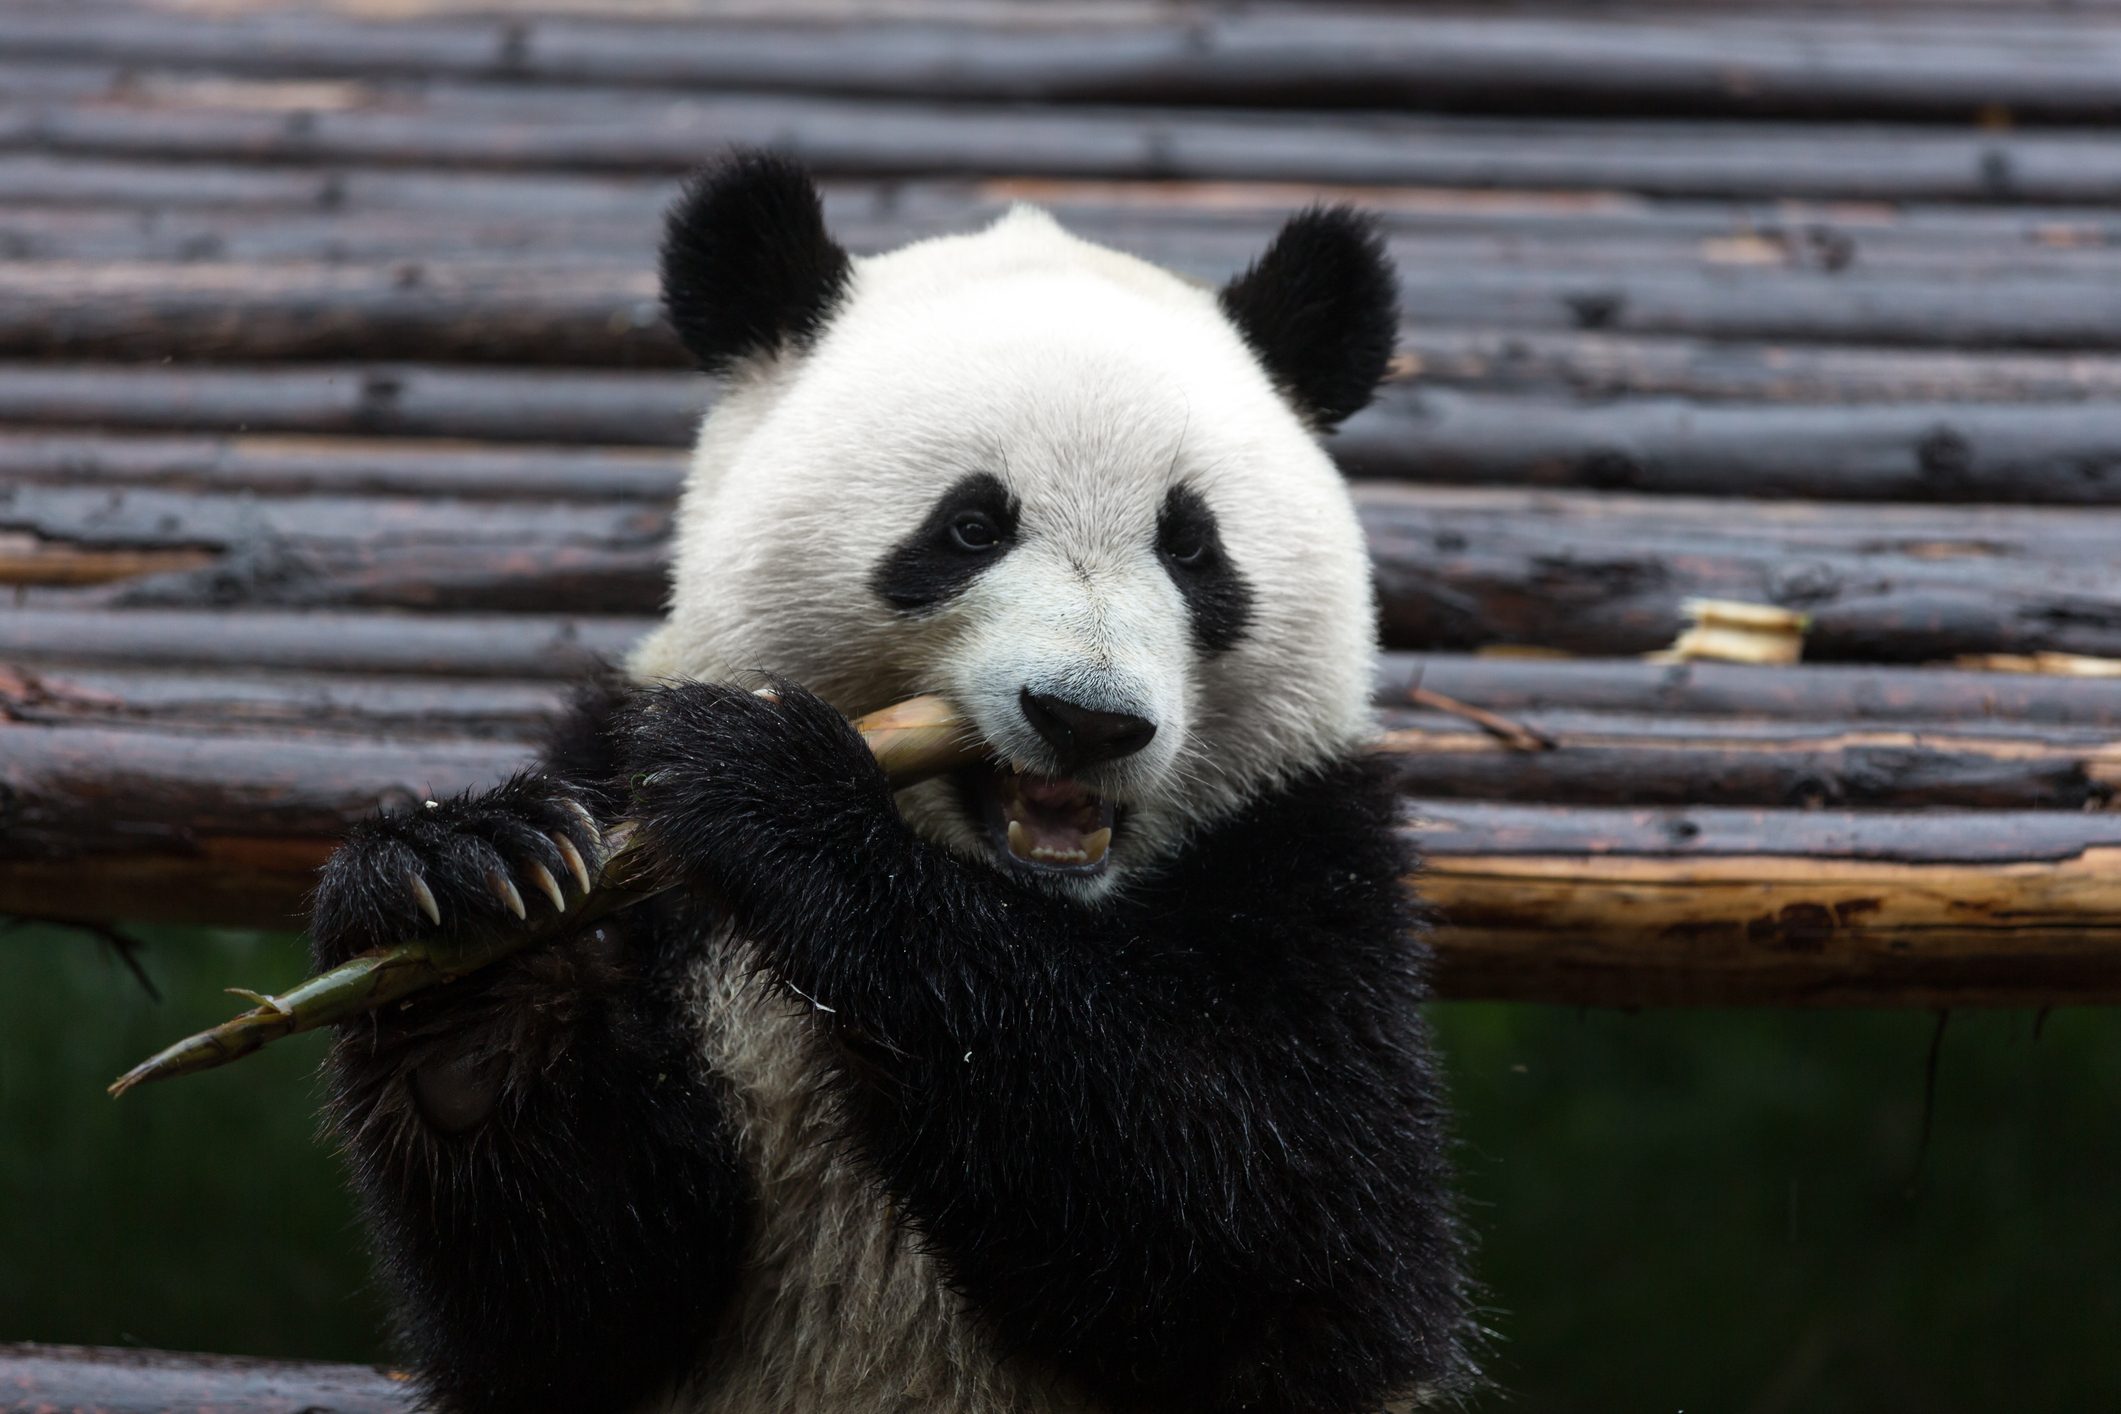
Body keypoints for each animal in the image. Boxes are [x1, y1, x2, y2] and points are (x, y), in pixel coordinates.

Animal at [309, 150, 1478, 1414]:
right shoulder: (618, 786)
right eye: (969, 526)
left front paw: (784, 795)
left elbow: (1274, 1231)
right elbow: (580, 1299)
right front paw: (464, 928)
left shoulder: (1312, 862)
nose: (1087, 719)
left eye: (1192, 546)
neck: (1013, 891)